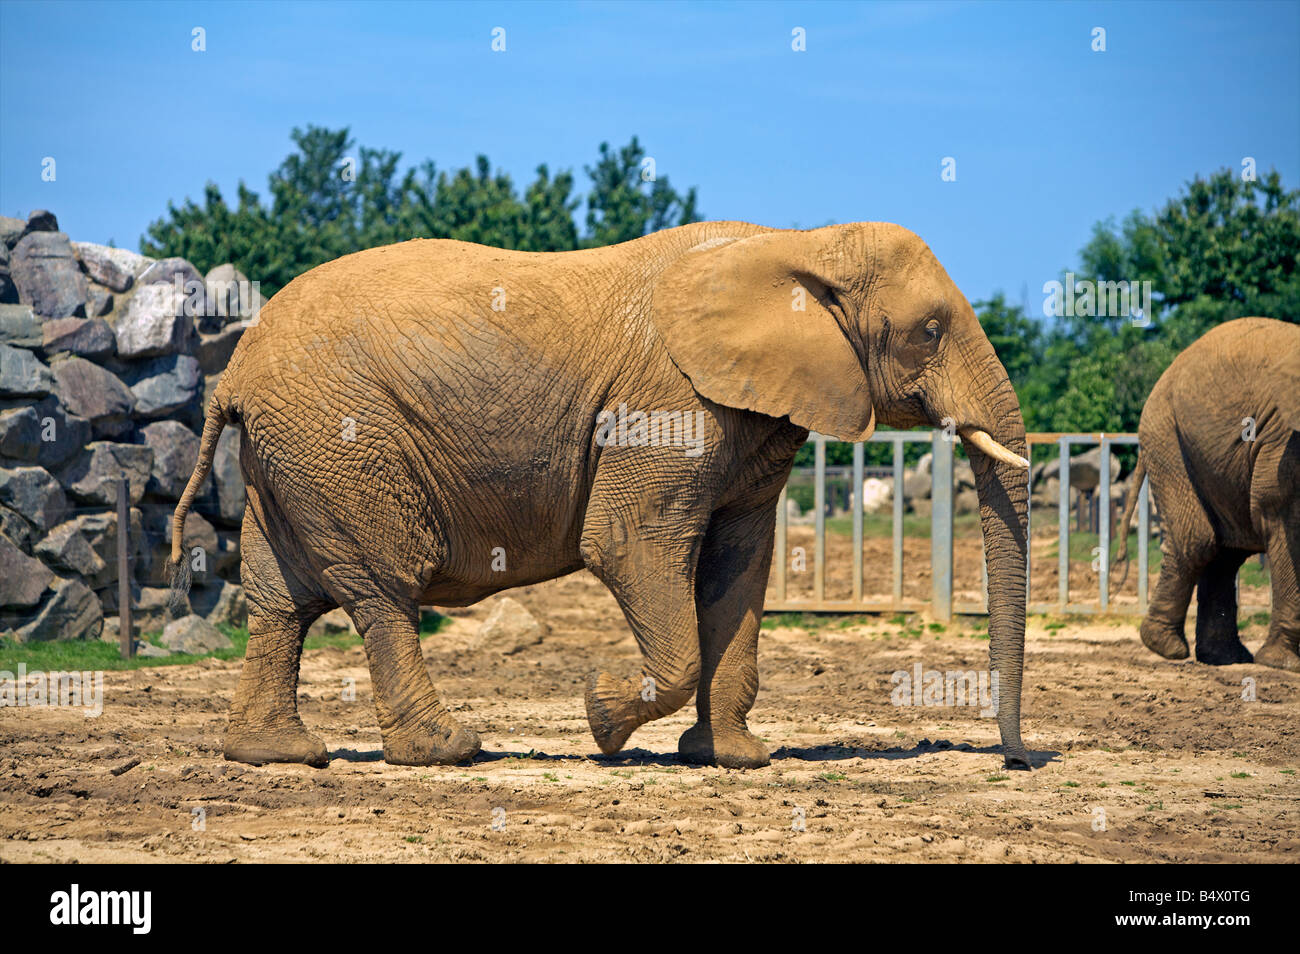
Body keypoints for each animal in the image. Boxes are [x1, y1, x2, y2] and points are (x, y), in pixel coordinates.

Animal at [168, 220, 1033, 770]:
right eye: (929, 331)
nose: (1018, 761)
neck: (798, 240)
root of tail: (234, 370)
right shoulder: (669, 405)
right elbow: (629, 545)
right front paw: (600, 716)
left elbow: (739, 568)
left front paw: (733, 760)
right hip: (342, 440)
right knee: (382, 586)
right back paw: (449, 751)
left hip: (291, 453)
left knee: (278, 599)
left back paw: (277, 754)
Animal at [1115, 317, 1300, 671]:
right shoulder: (1286, 440)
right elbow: (1284, 516)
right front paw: (1283, 664)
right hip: (1166, 436)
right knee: (1199, 541)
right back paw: (1167, 647)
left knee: (1226, 553)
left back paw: (1224, 658)